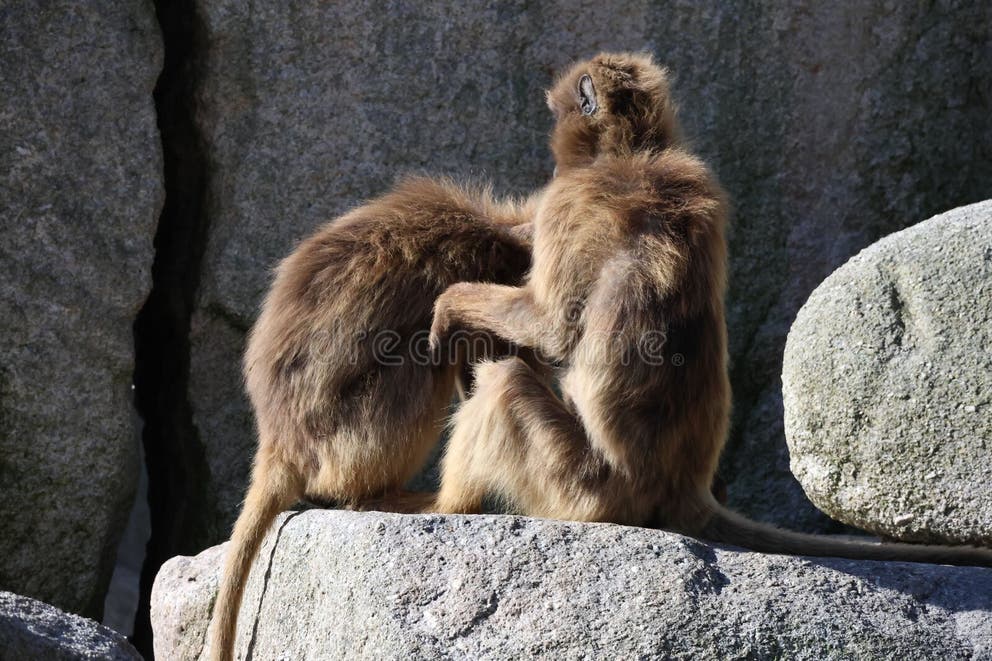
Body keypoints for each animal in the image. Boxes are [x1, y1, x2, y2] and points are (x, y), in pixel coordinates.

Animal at [428, 52, 992, 568]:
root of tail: (682, 490)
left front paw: (449, 305)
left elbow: (552, 327)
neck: (637, 150)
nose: (550, 156)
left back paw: (444, 507)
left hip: (584, 488)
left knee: (505, 384)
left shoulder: (568, 200)